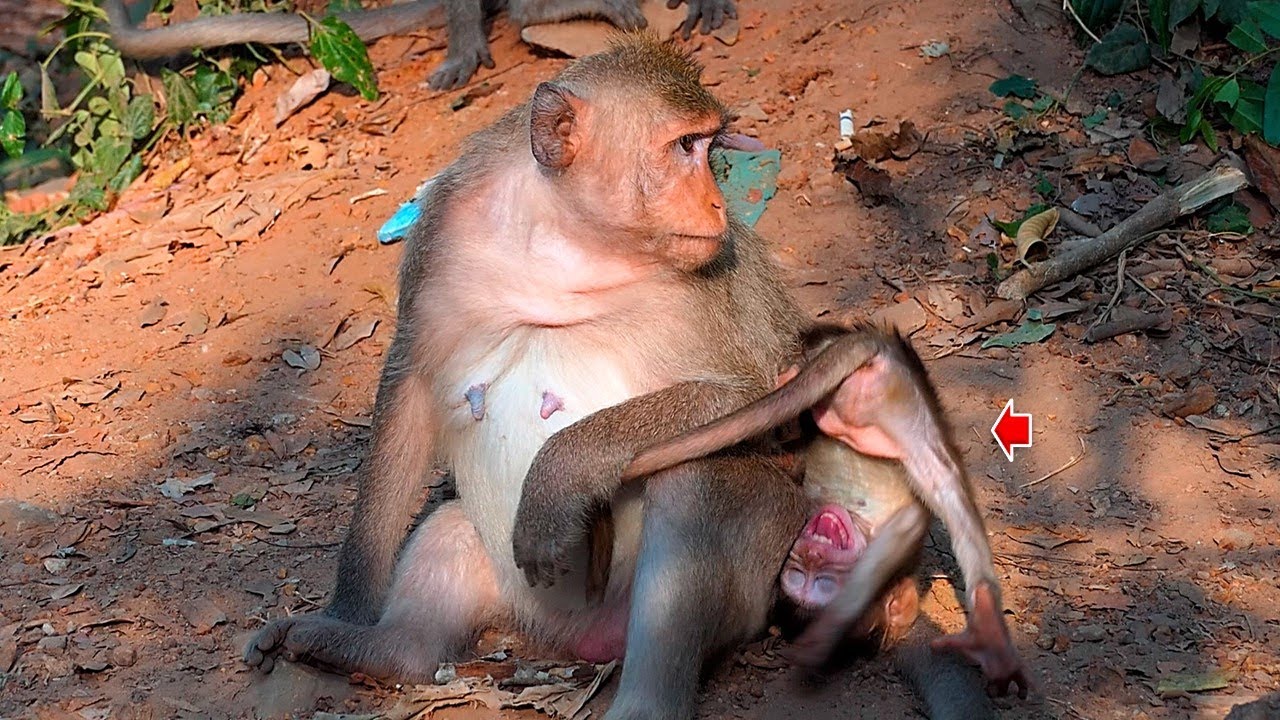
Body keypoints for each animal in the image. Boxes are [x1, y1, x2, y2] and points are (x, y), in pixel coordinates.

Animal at [243, 35, 823, 720]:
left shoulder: (715, 275)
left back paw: (646, 699)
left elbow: (764, 397)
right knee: (450, 533)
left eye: (710, 147)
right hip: (511, 586)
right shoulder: (442, 231)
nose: (716, 205)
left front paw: (561, 472)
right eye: (686, 146)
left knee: (695, 484)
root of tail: (581, 637)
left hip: (758, 566)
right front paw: (345, 611)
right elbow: (410, 390)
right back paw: (378, 651)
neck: (568, 239)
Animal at [601, 322, 1031, 698]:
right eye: (800, 575)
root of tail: (870, 345)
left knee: (941, 479)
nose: (812, 551)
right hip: (897, 398)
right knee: (940, 476)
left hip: (893, 399)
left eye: (821, 582)